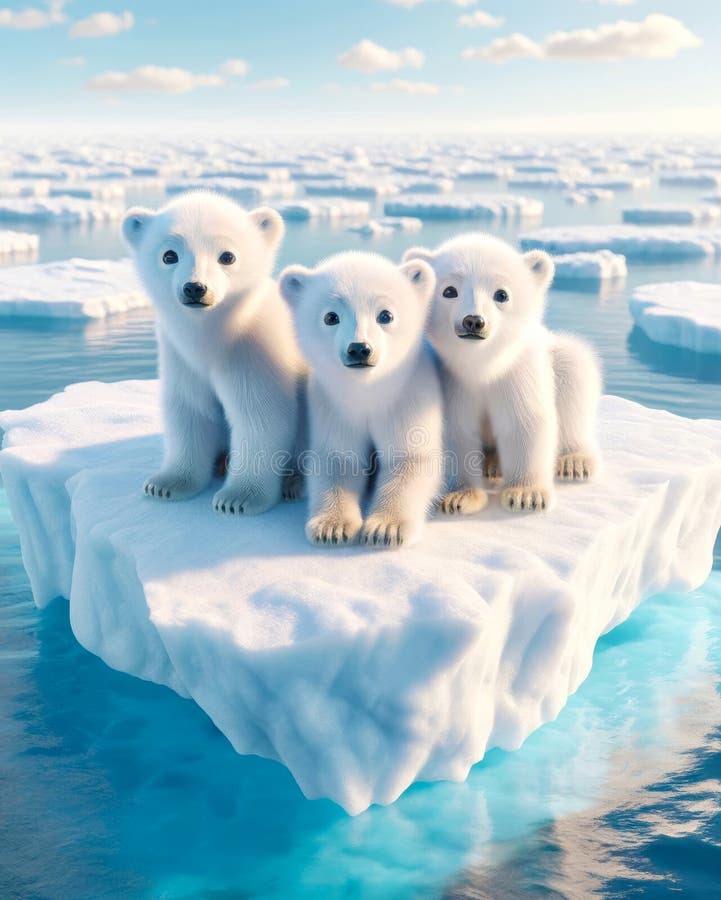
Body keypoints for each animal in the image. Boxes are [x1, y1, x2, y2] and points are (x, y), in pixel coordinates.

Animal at [122, 191, 306, 516]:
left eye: (227, 256)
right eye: (169, 255)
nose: (195, 288)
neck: (213, 339)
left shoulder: (252, 353)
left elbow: (260, 417)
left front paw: (237, 499)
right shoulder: (180, 357)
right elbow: (190, 411)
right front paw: (165, 484)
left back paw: (293, 484)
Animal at [278, 251, 443, 548]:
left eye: (385, 315)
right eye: (331, 317)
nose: (359, 349)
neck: (368, 391)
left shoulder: (409, 399)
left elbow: (410, 458)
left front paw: (386, 528)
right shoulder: (333, 404)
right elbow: (338, 458)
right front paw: (332, 527)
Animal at [403, 232, 601, 514]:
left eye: (502, 294)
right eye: (449, 291)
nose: (474, 321)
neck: (481, 366)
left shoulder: (517, 371)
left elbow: (524, 420)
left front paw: (526, 495)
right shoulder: (450, 378)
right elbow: (456, 428)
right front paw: (460, 497)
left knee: (573, 369)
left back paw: (573, 461)